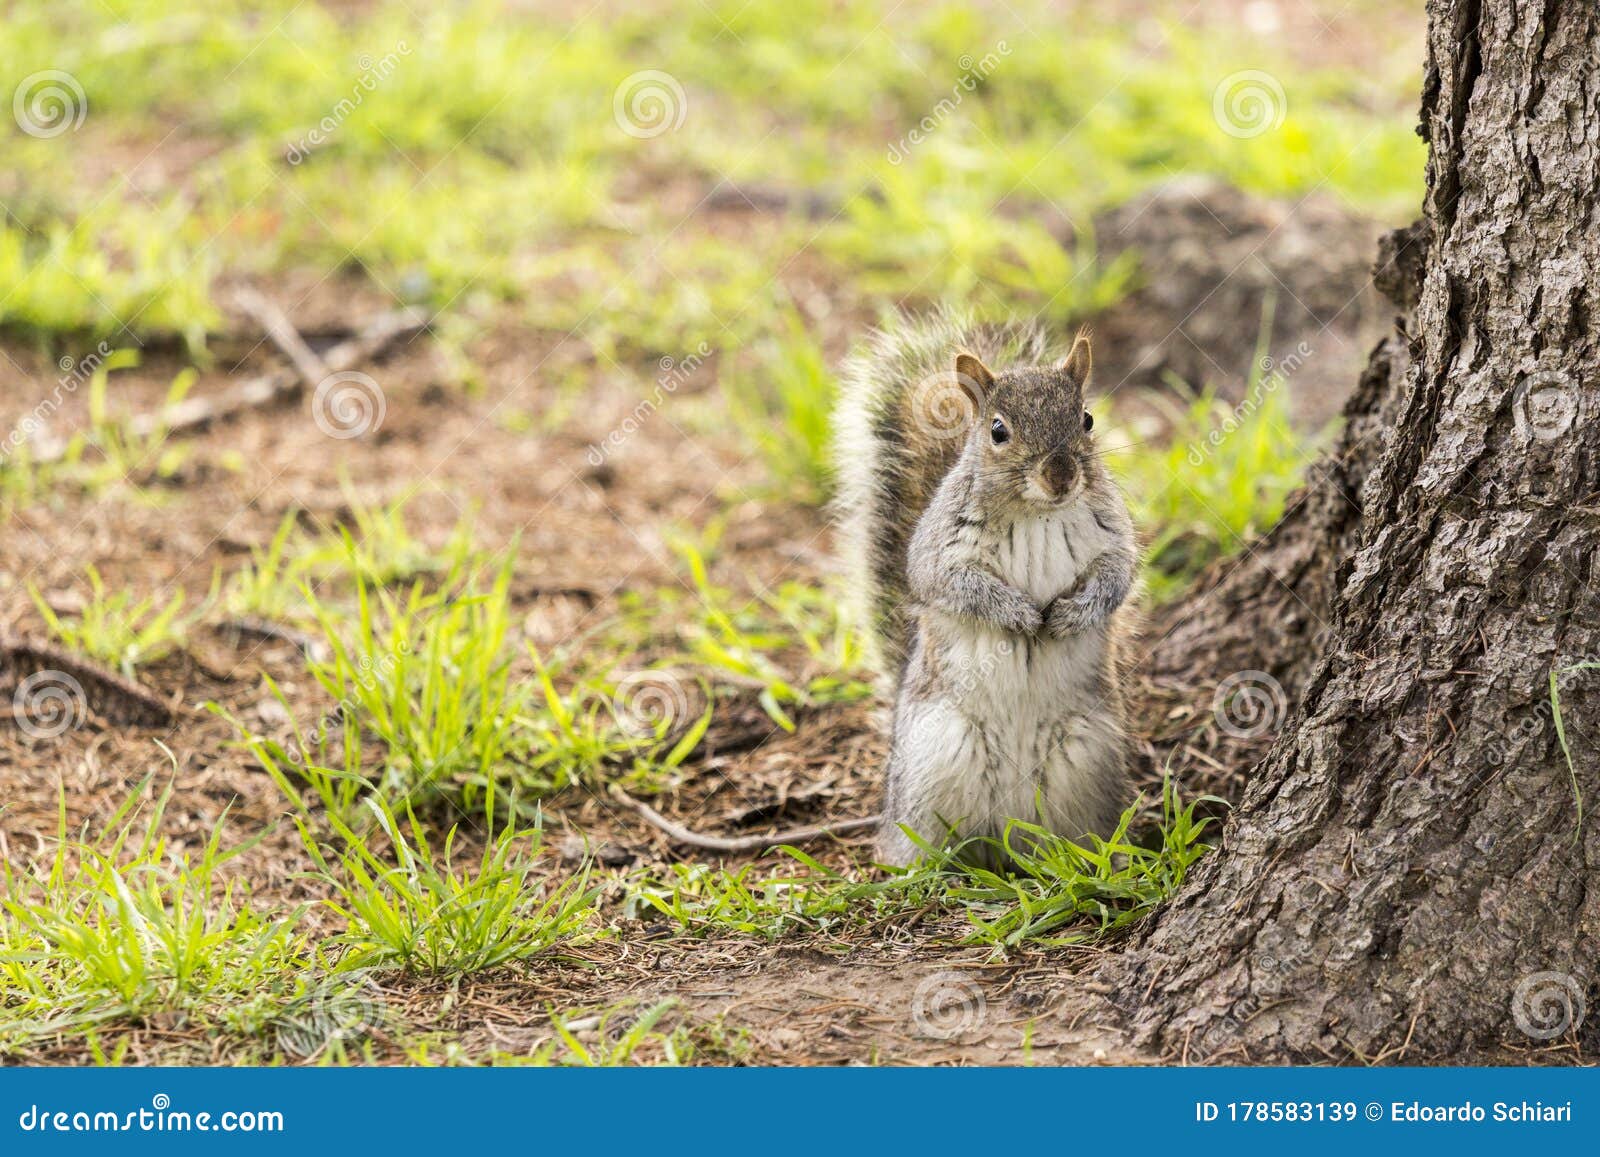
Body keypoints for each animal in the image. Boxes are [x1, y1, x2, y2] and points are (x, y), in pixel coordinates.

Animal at [831, 308, 1137, 867]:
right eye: (998, 430)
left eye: (1086, 419)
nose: (1060, 475)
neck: (1039, 512)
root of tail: (1011, 828)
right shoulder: (939, 552)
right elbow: (954, 585)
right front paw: (1018, 613)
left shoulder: (1115, 540)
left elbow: (1116, 578)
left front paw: (1071, 615)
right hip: (935, 764)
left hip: (1087, 759)